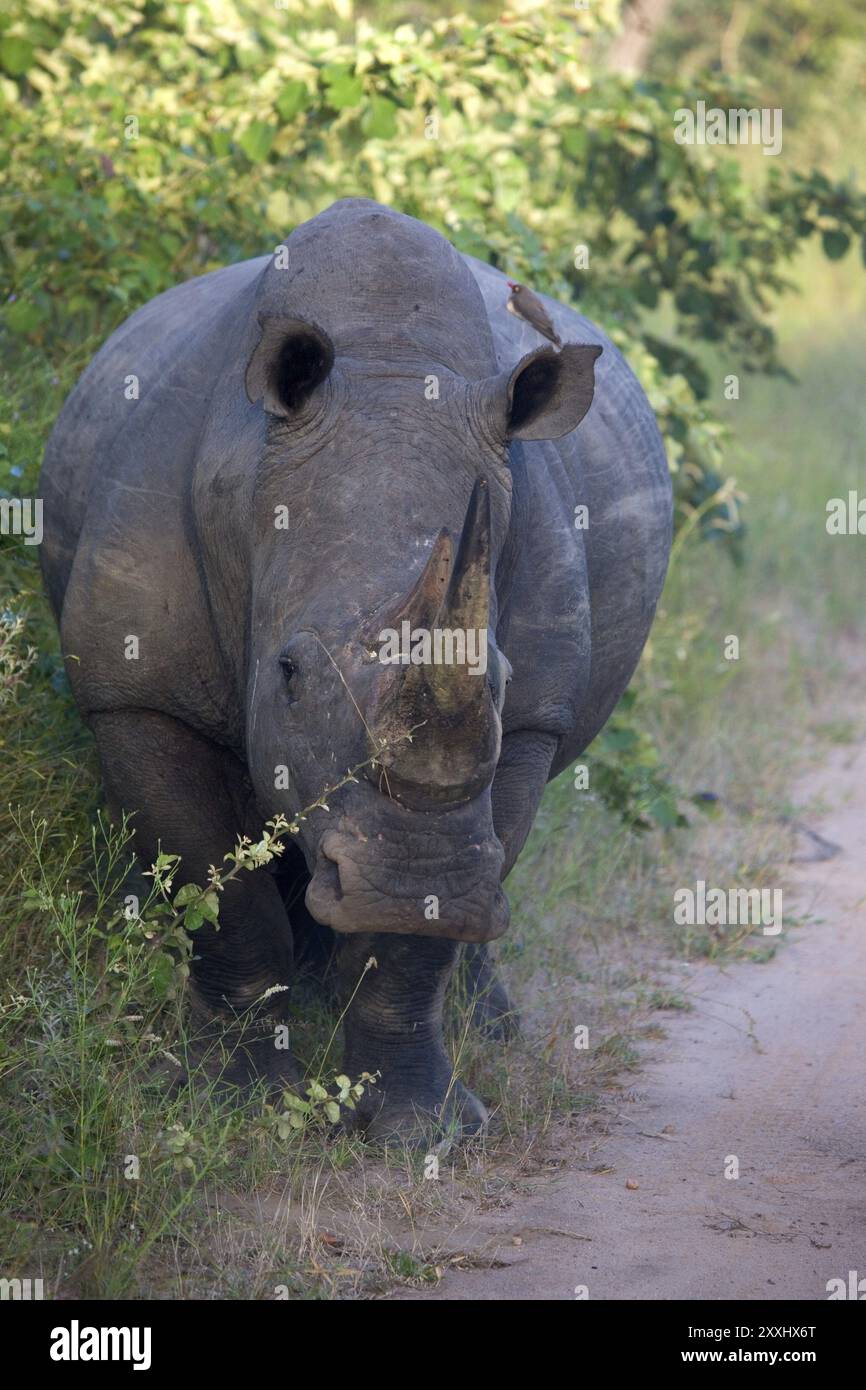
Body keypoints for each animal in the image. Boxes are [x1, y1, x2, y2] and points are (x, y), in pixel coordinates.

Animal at [40, 198, 671, 1139]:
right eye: (290, 673)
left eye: (502, 677)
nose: (410, 885)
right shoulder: (140, 698)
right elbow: (226, 903)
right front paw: (239, 1106)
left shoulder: (530, 719)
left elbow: (421, 942)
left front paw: (423, 1127)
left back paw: (491, 1029)